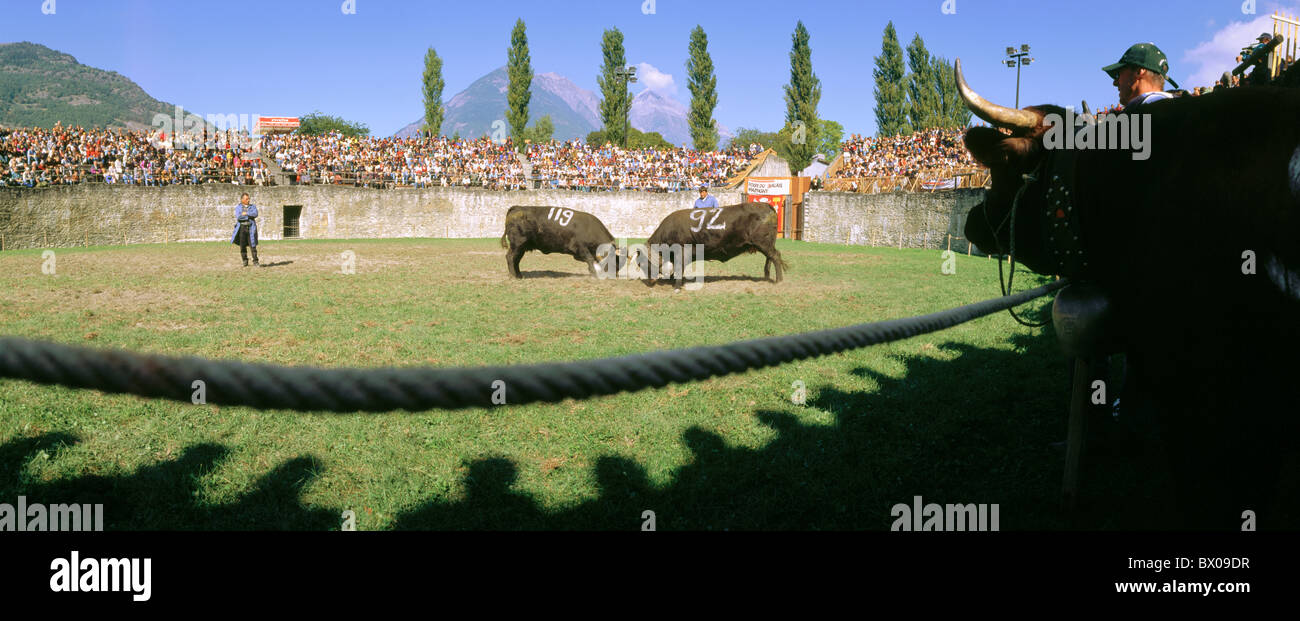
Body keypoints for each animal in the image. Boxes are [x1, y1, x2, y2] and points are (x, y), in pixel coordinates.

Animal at [636, 202, 788, 289]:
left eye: (641, 263)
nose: (650, 282)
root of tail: (766, 206)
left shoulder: (682, 251)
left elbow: (679, 268)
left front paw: (677, 285)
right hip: (766, 244)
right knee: (770, 258)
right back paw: (767, 277)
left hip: (762, 242)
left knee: (775, 256)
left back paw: (779, 281)